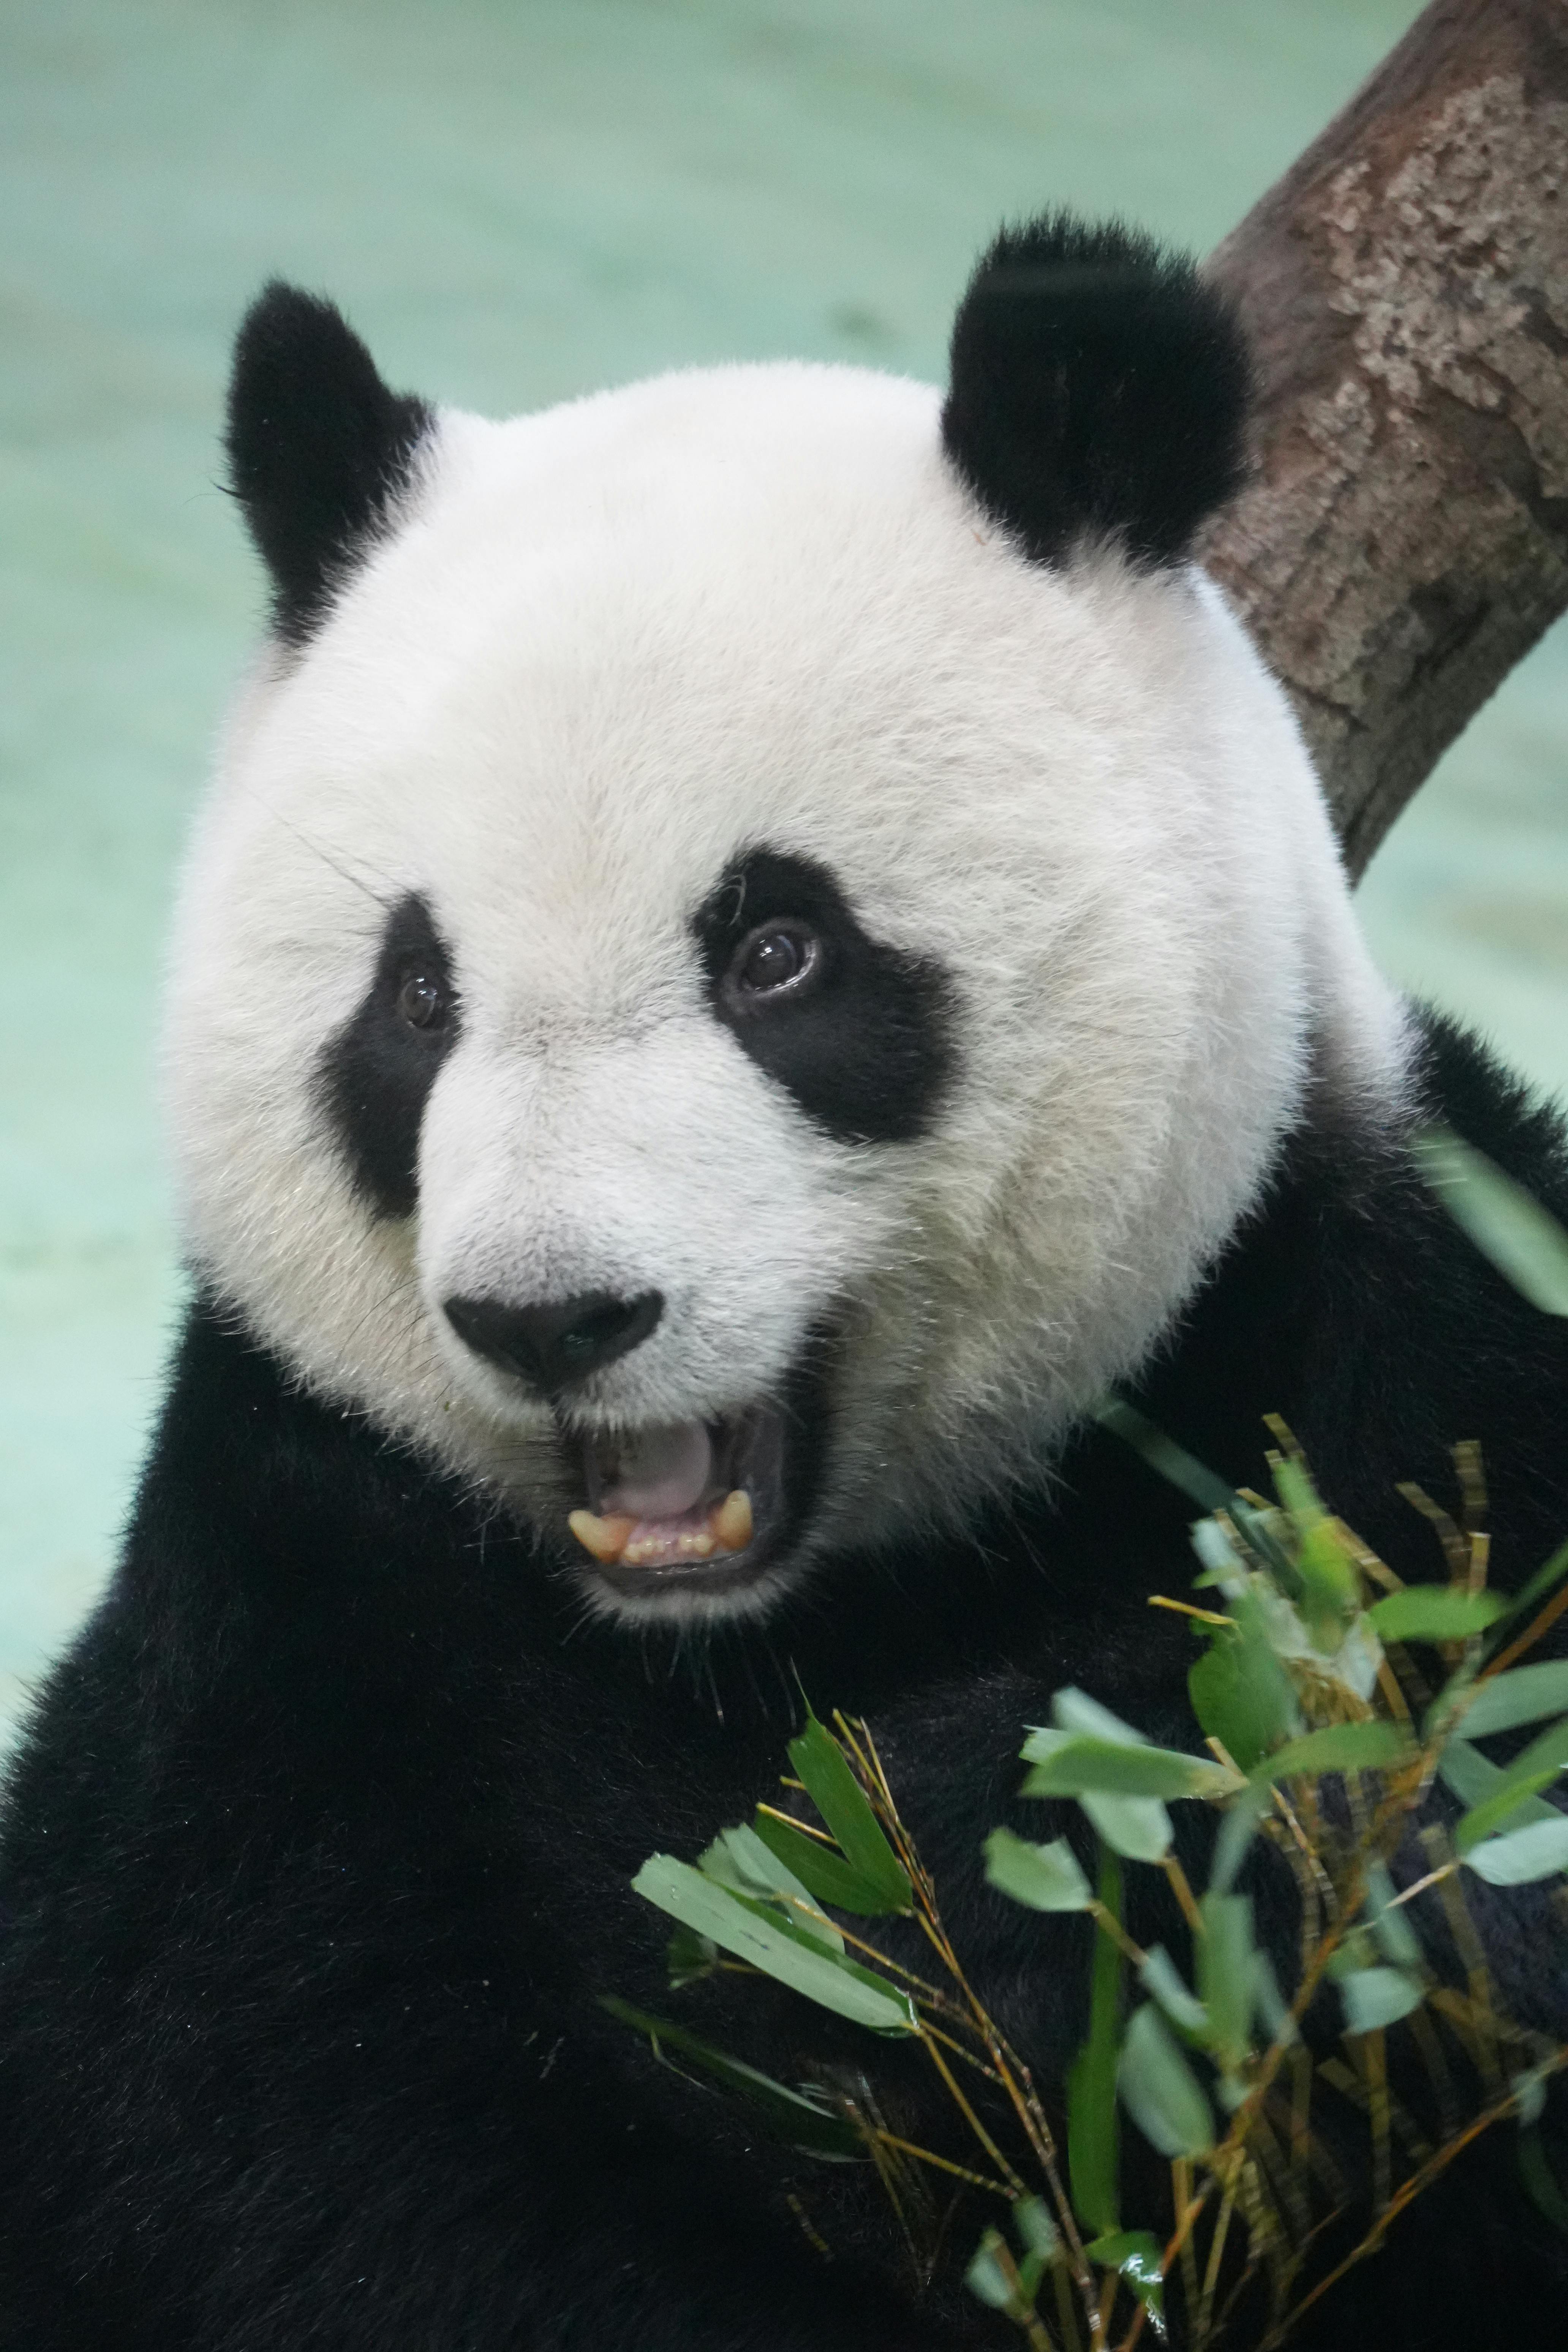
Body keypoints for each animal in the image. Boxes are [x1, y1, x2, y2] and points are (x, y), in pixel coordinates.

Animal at [2, 211, 1567, 2352]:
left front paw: (999, 1846)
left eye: (777, 952)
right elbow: (302, 2145)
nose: (551, 1317)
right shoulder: (296, 1600)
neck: (772, 1621)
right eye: (415, 998)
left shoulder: (1392, 1358)